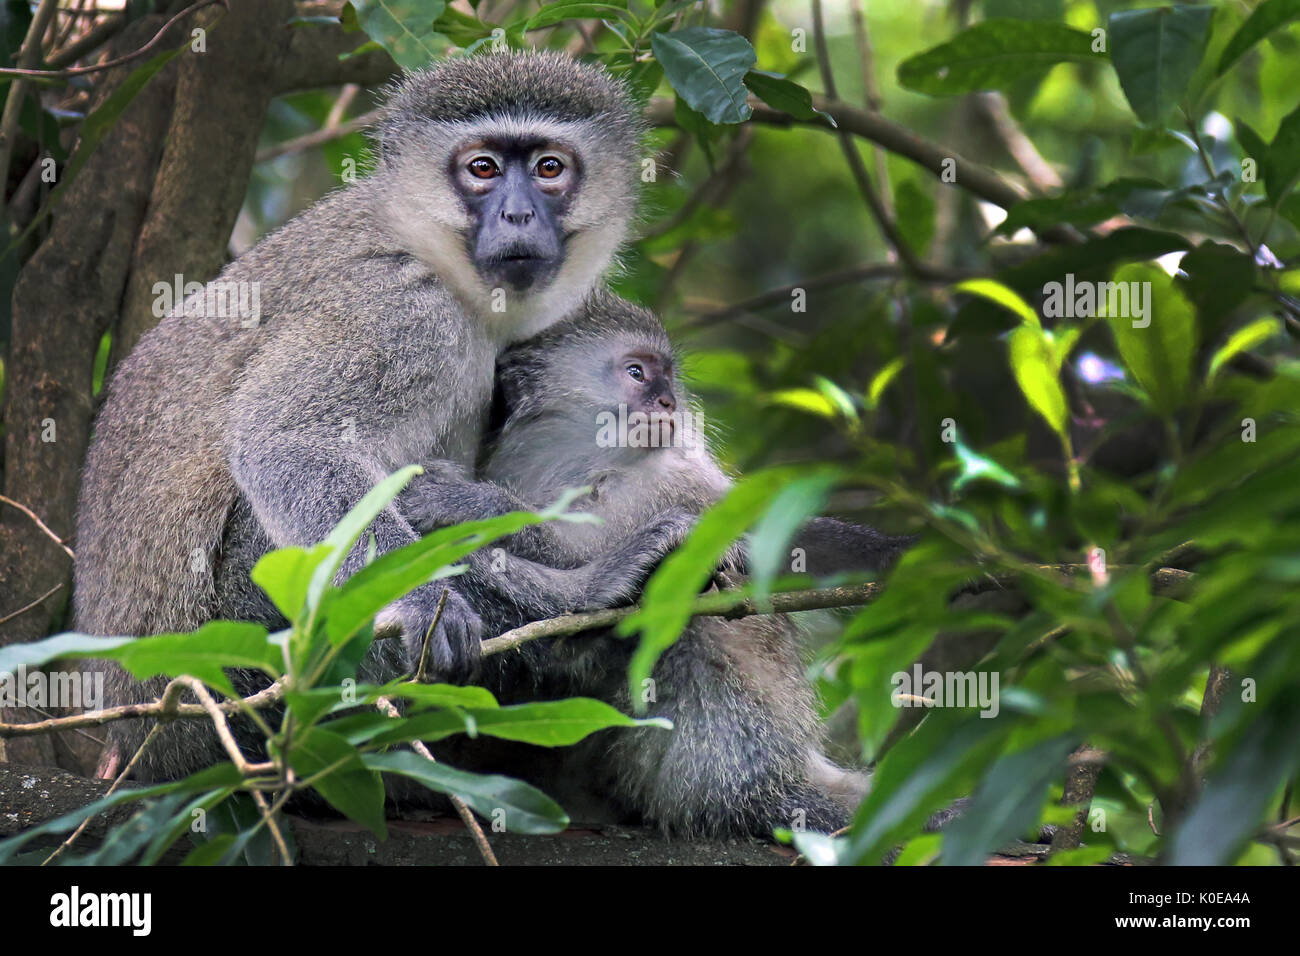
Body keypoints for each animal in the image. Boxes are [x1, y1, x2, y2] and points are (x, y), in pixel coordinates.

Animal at [73, 52, 646, 782]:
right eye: (482, 168)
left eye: (550, 168)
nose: (518, 215)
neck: (429, 250)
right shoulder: (398, 310)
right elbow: (287, 443)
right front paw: (432, 599)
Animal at [399, 291, 913, 837]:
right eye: (637, 373)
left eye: (667, 375)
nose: (669, 403)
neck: (577, 460)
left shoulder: (668, 476)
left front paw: (473, 503)